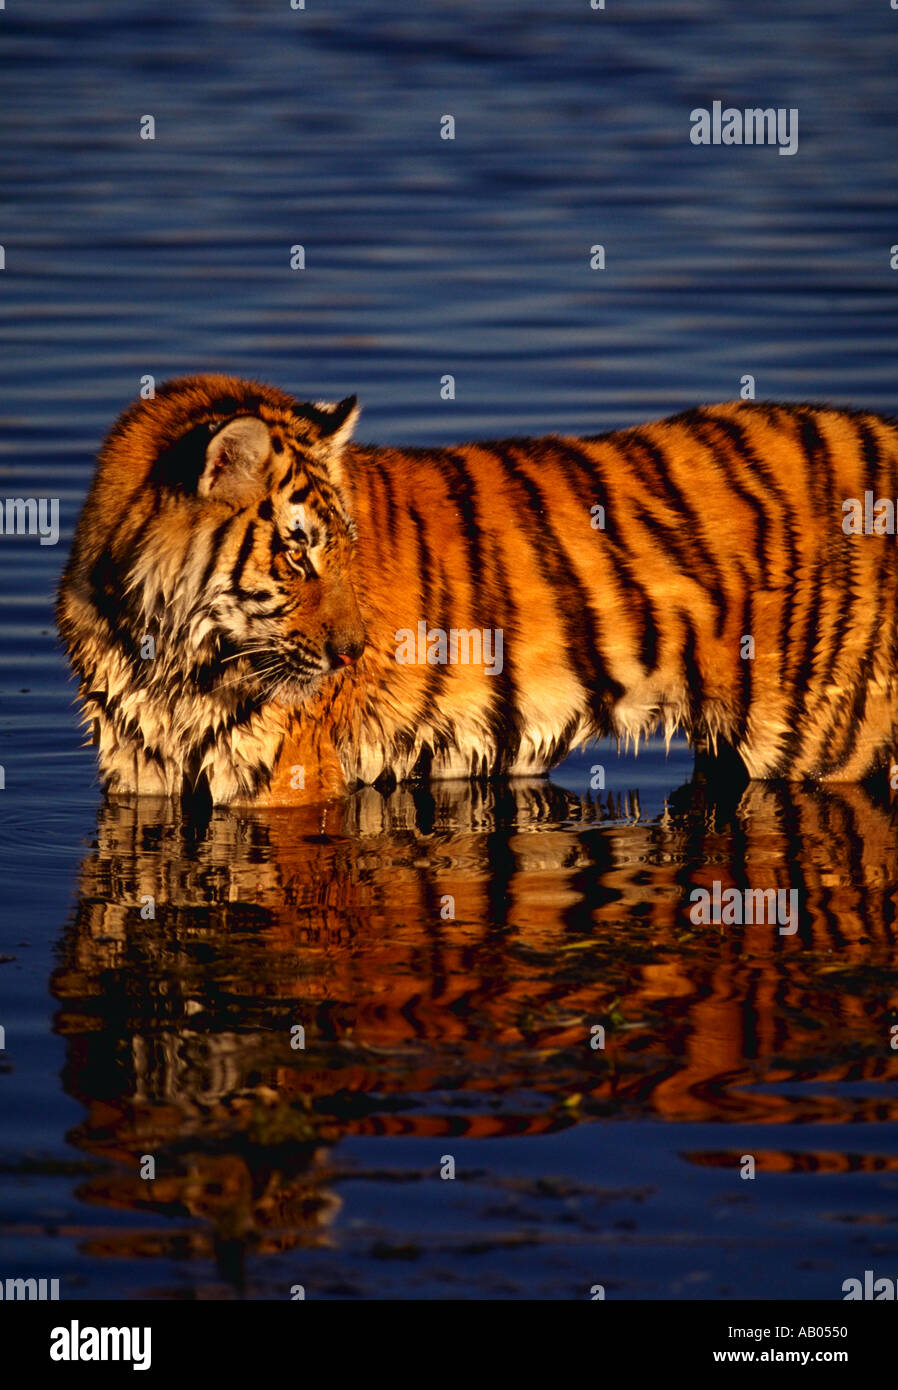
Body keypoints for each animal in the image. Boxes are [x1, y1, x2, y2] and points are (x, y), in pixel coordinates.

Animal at [56, 374, 898, 804]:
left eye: (337, 548)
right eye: (298, 553)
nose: (354, 654)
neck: (166, 651)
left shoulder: (285, 779)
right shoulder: (139, 772)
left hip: (822, 745)